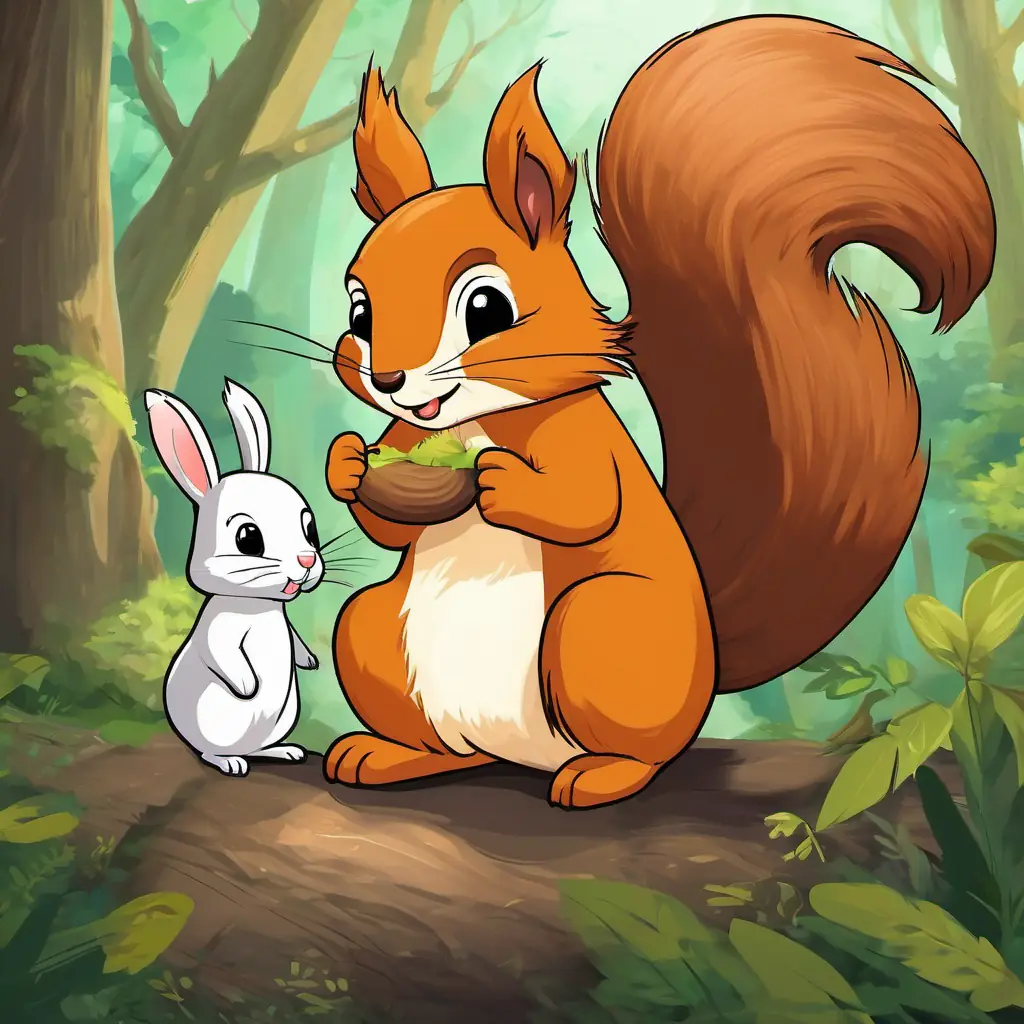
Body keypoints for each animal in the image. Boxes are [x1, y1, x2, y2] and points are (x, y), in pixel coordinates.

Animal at [321, 15, 995, 809]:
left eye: (486, 309)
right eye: (358, 311)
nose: (390, 377)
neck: (470, 422)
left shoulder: (585, 439)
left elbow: (588, 504)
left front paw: (498, 481)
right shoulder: (407, 432)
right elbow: (388, 523)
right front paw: (346, 464)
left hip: (599, 628)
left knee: (642, 751)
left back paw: (602, 774)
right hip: (371, 633)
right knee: (445, 743)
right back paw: (393, 755)